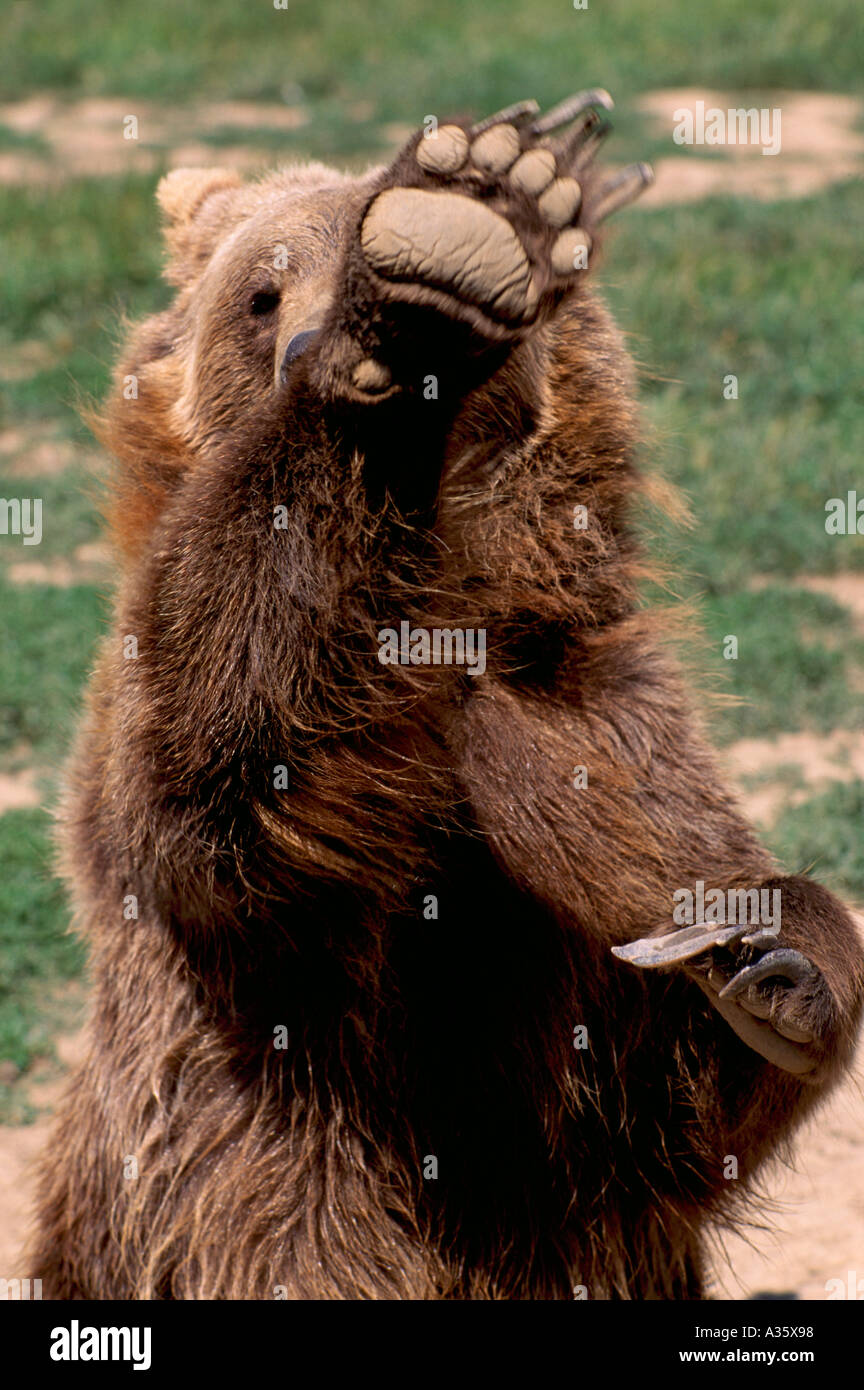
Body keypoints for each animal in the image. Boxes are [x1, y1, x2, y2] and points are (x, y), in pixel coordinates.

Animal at [29, 89, 864, 1300]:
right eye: (261, 291)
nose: (305, 342)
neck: (431, 594)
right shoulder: (202, 841)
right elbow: (217, 776)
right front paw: (434, 274)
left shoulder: (589, 721)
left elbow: (648, 1056)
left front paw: (775, 961)